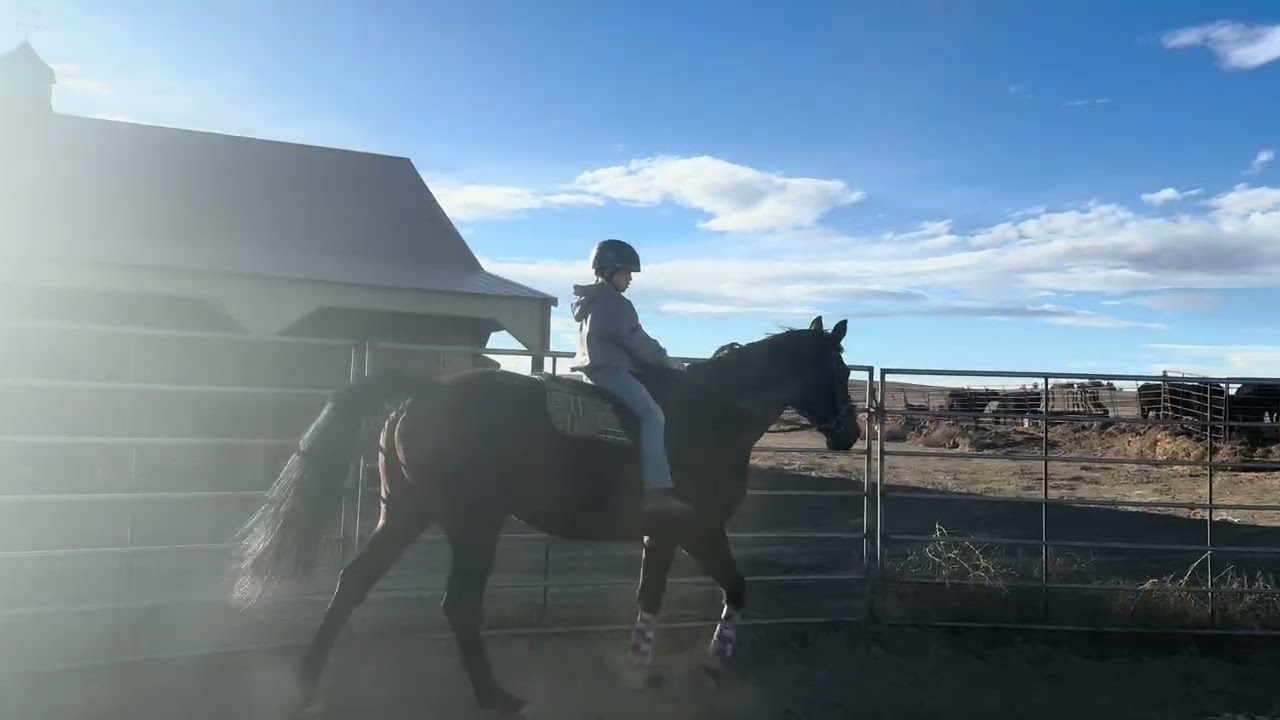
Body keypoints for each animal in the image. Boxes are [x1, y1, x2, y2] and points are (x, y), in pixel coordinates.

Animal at [230, 315, 863, 718]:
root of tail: (424, 391)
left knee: (353, 582)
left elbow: (655, 594)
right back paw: (494, 696)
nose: (851, 434)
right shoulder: (697, 528)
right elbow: (735, 586)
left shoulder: (663, 534)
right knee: (457, 604)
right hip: (473, 523)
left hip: (407, 512)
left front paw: (646, 668)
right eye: (839, 369)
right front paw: (708, 664)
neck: (711, 416)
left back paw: (305, 685)